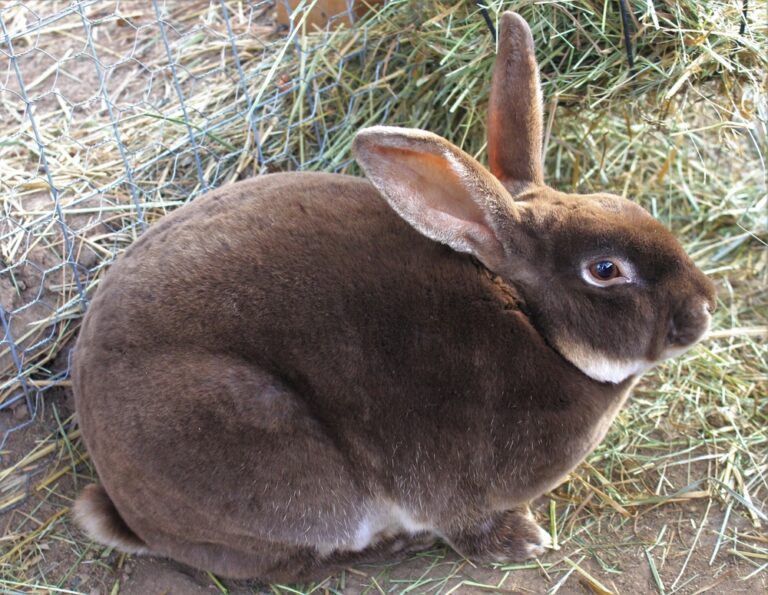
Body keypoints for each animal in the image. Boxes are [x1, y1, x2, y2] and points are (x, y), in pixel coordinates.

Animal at [72, 12, 715, 583]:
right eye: (605, 270)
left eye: (621, 203)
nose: (703, 308)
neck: (534, 322)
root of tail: (129, 511)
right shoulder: (455, 482)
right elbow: (467, 525)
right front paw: (522, 540)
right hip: (278, 462)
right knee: (294, 561)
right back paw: (394, 546)